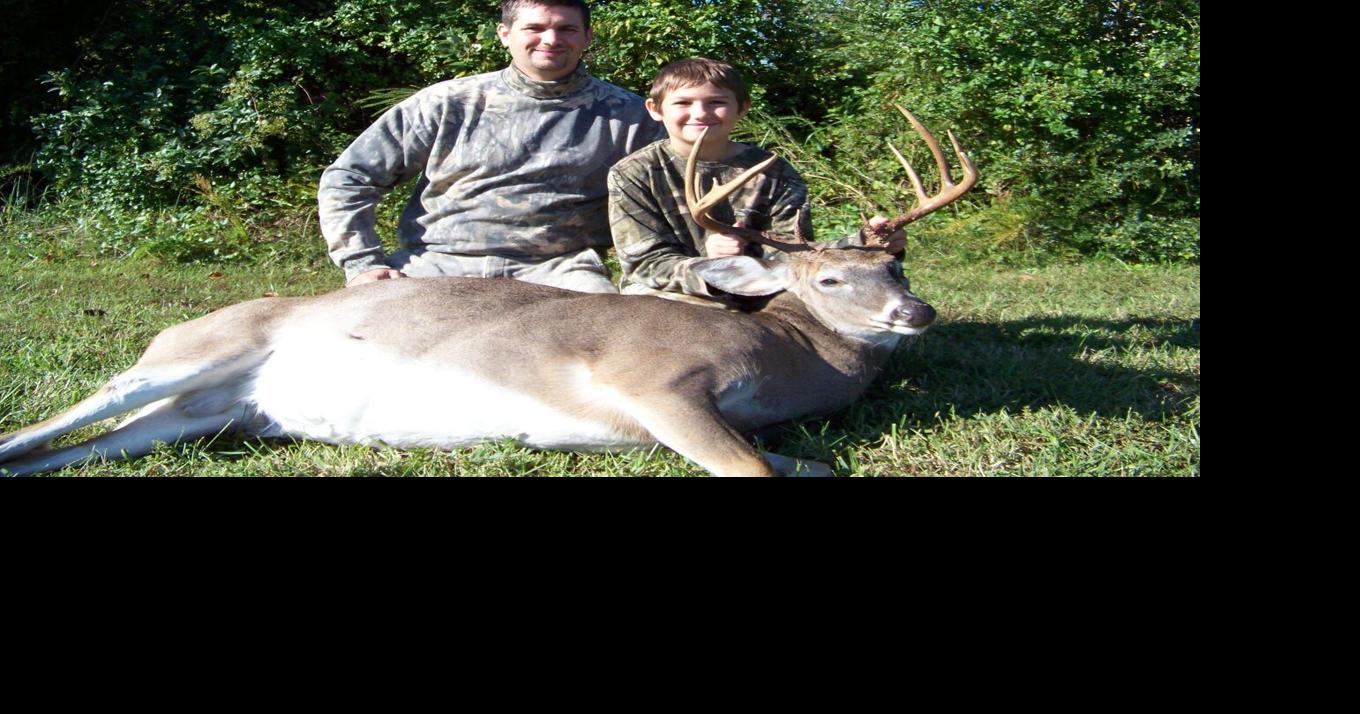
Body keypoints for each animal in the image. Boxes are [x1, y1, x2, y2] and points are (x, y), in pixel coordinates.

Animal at [0, 106, 976, 477]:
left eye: (898, 267)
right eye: (831, 277)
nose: (916, 312)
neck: (784, 358)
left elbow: (809, 465)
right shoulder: (654, 381)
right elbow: (750, 468)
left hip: (207, 414)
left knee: (83, 446)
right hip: (189, 353)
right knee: (51, 420)